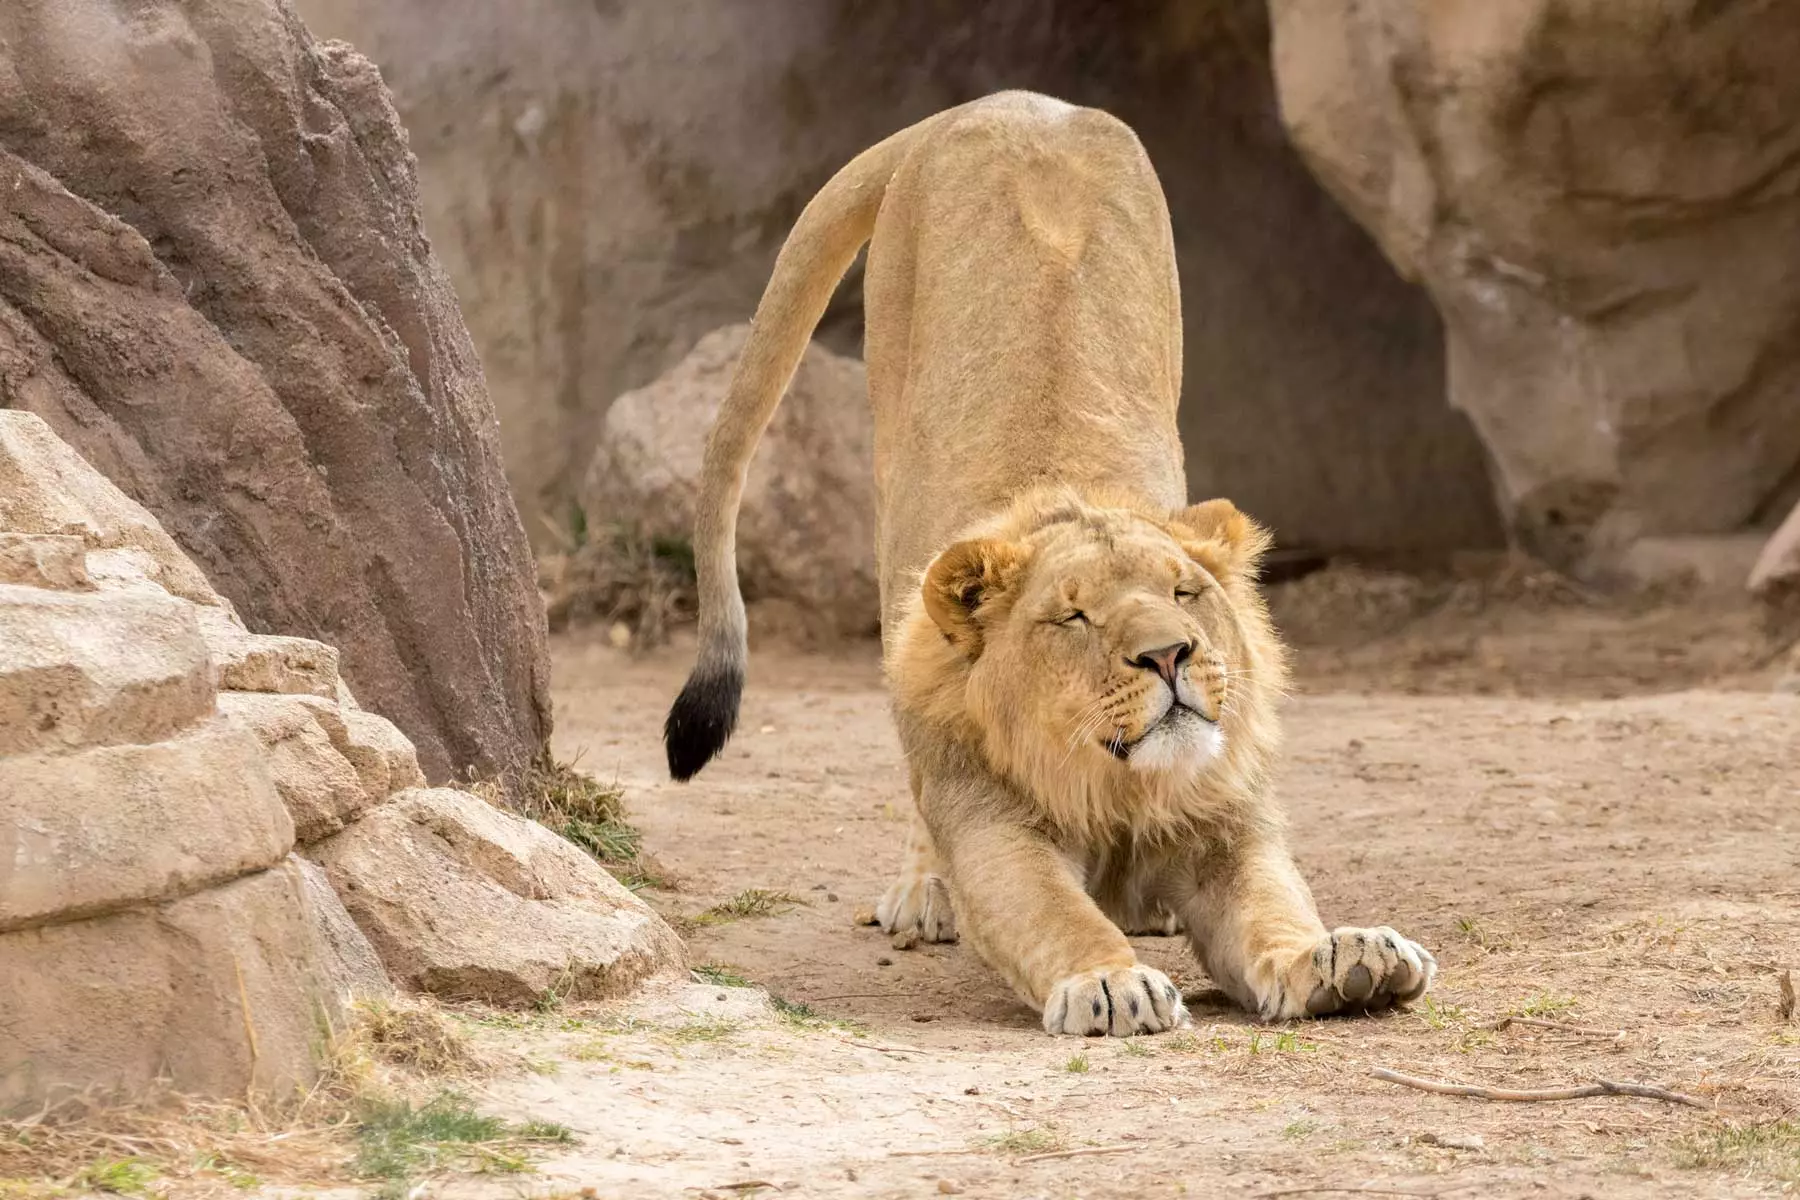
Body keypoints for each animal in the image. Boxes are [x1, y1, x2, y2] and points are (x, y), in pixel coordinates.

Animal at [662, 91, 1432, 1036]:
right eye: (1074, 616)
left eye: (1186, 593)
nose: (1171, 655)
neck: (1120, 788)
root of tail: (993, 103)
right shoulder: (994, 822)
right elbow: (1054, 913)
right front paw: (1110, 982)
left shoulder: (1228, 821)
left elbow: (1275, 907)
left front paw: (1342, 957)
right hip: (895, 506)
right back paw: (927, 891)